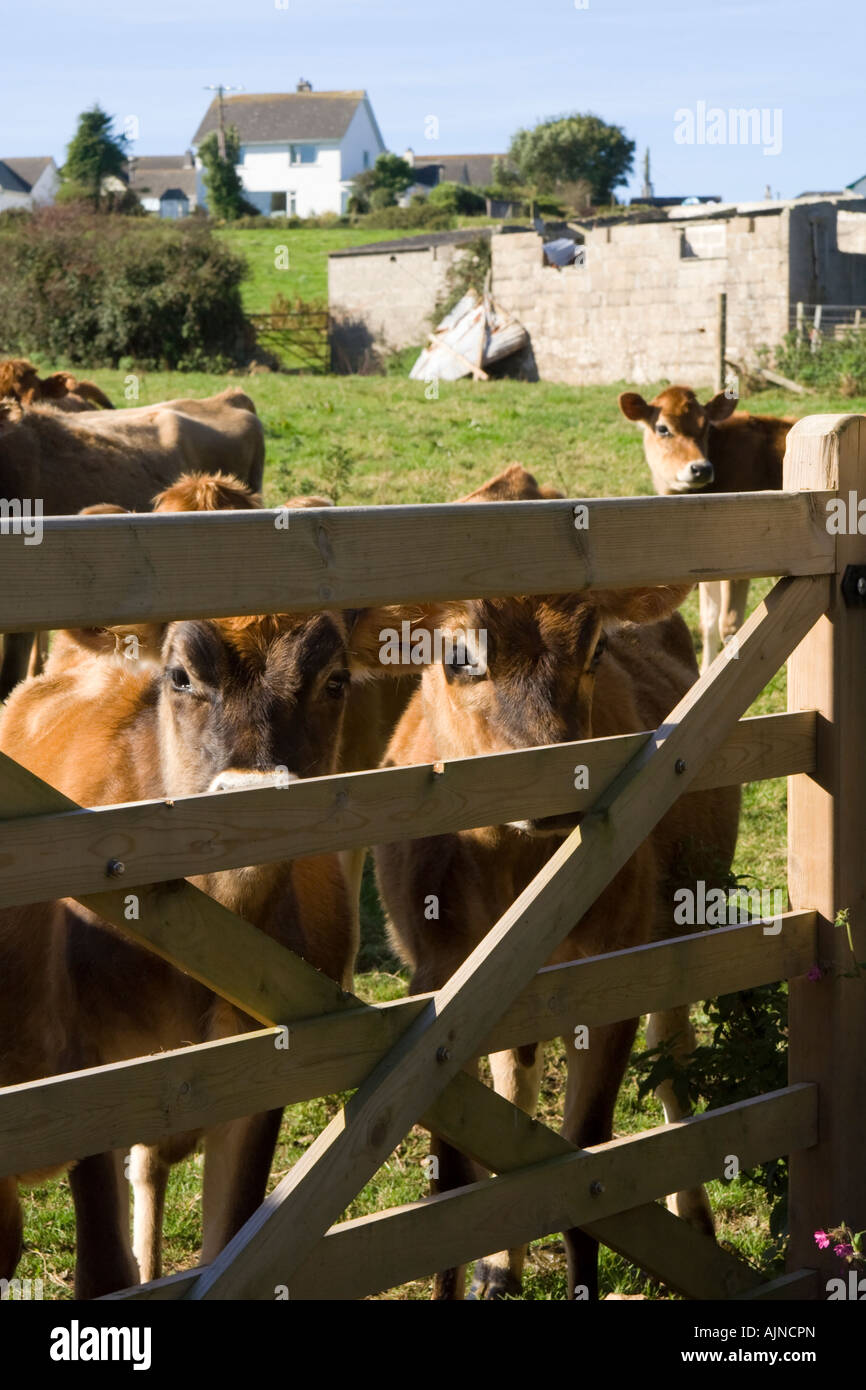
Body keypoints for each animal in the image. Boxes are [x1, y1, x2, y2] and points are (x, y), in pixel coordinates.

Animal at [373, 464, 741, 1300]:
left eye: (596, 643)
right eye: (458, 655)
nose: (552, 789)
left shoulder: (610, 970)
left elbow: (585, 1157)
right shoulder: (435, 990)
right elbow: (451, 1183)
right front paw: (478, 1265)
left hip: (676, 926)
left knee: (673, 1056)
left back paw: (697, 1221)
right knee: (518, 1074)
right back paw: (499, 1267)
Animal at [619, 386, 794, 670]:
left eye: (706, 427)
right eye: (663, 428)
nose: (701, 468)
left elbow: (729, 626)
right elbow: (708, 623)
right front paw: (705, 671)